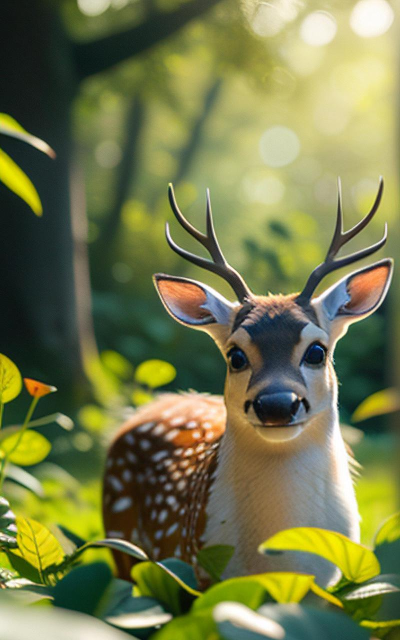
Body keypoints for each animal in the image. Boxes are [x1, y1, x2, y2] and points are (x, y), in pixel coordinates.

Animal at [103, 178, 393, 587]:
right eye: (235, 355)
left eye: (317, 351)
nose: (276, 404)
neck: (277, 564)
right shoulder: (201, 570)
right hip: (121, 544)